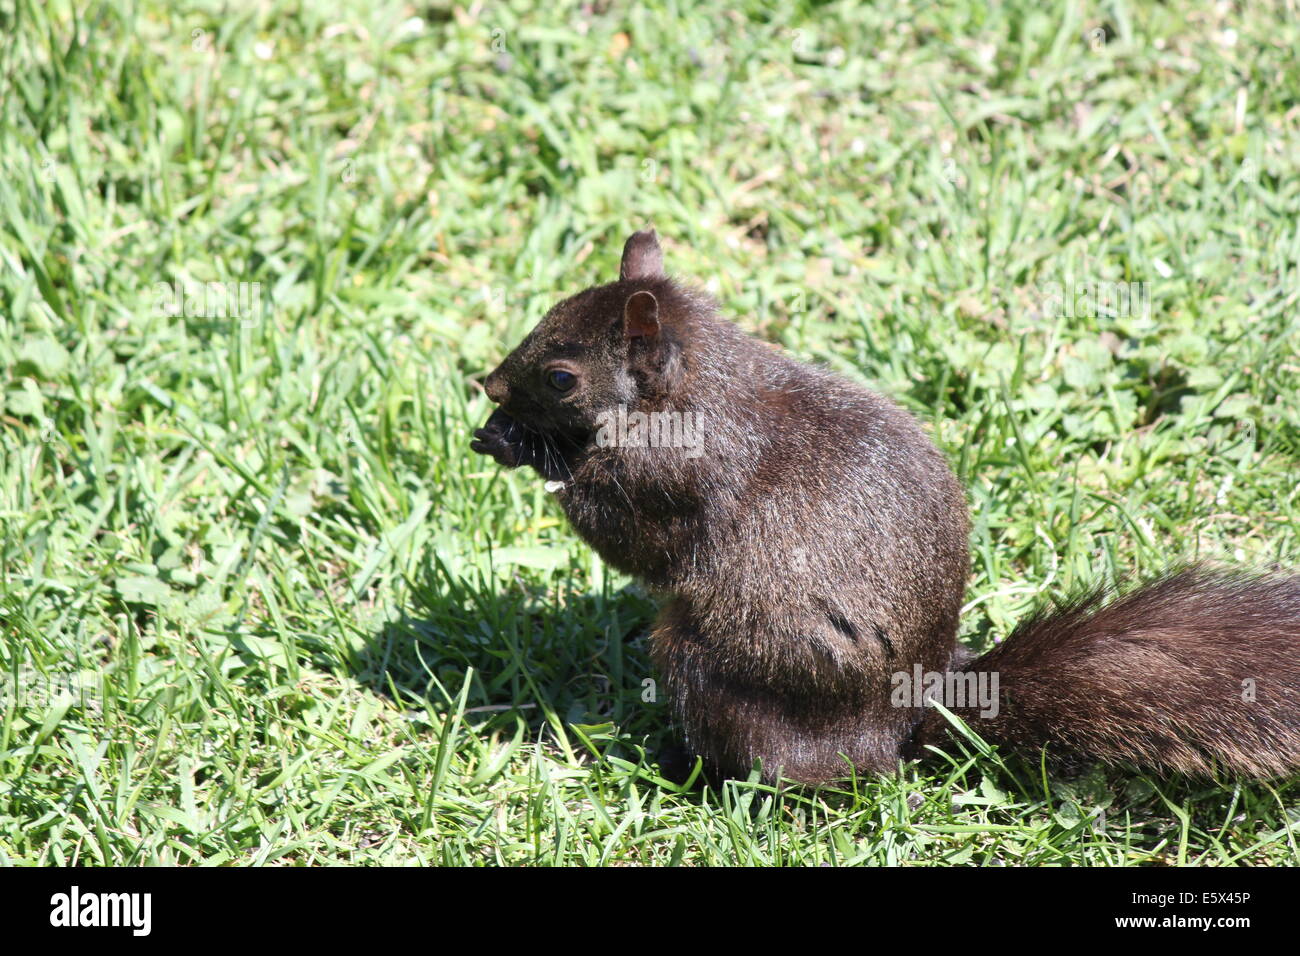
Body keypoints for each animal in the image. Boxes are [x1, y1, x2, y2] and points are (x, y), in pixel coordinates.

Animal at [471, 227, 1300, 785]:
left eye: (560, 378)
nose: (489, 385)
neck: (689, 391)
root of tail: (908, 717)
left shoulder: (670, 480)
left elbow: (628, 537)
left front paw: (524, 449)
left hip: (720, 662)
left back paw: (685, 767)